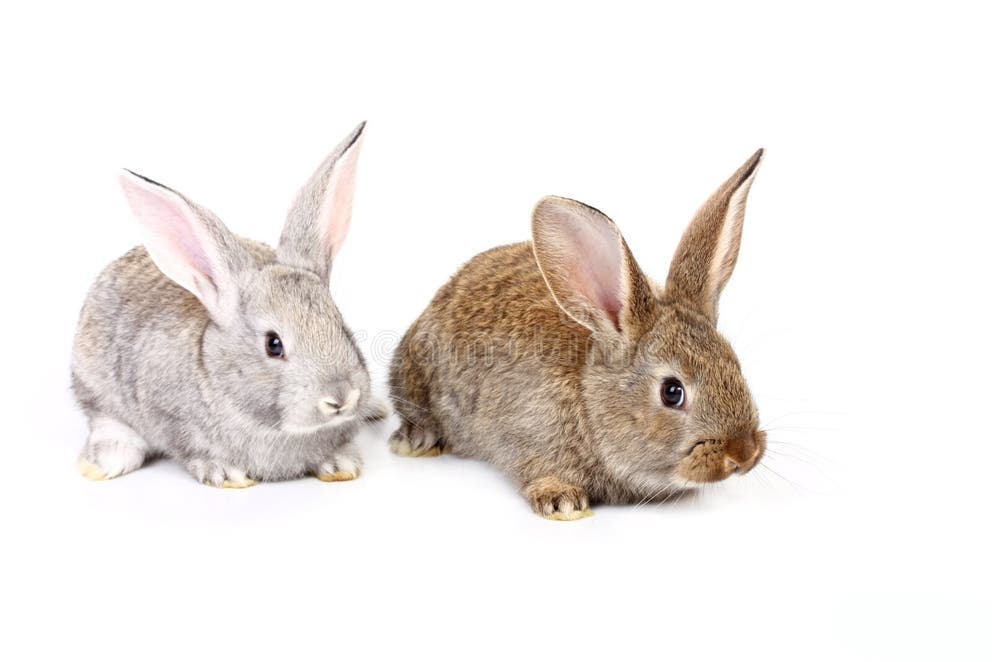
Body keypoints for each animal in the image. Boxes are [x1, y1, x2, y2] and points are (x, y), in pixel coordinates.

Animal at [72, 122, 387, 488]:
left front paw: (340, 464)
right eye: (273, 344)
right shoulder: (169, 417)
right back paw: (105, 462)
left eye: (342, 327)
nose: (340, 397)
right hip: (93, 382)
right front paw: (225, 473)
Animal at [388, 149, 767, 519]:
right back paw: (414, 441)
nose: (743, 453)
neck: (590, 398)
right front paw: (563, 502)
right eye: (672, 392)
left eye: (736, 366)